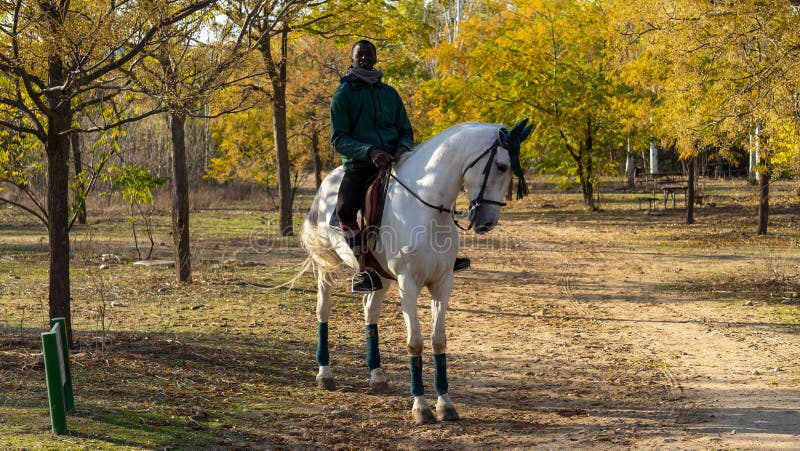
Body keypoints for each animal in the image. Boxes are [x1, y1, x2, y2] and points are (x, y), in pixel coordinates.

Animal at [300, 119, 533, 424]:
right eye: (502, 166)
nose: (487, 223)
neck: (428, 208)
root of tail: (327, 182)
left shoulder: (443, 283)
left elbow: (438, 341)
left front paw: (445, 404)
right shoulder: (408, 284)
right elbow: (415, 343)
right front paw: (421, 407)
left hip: (381, 277)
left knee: (370, 310)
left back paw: (377, 376)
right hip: (326, 266)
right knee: (323, 309)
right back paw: (325, 374)